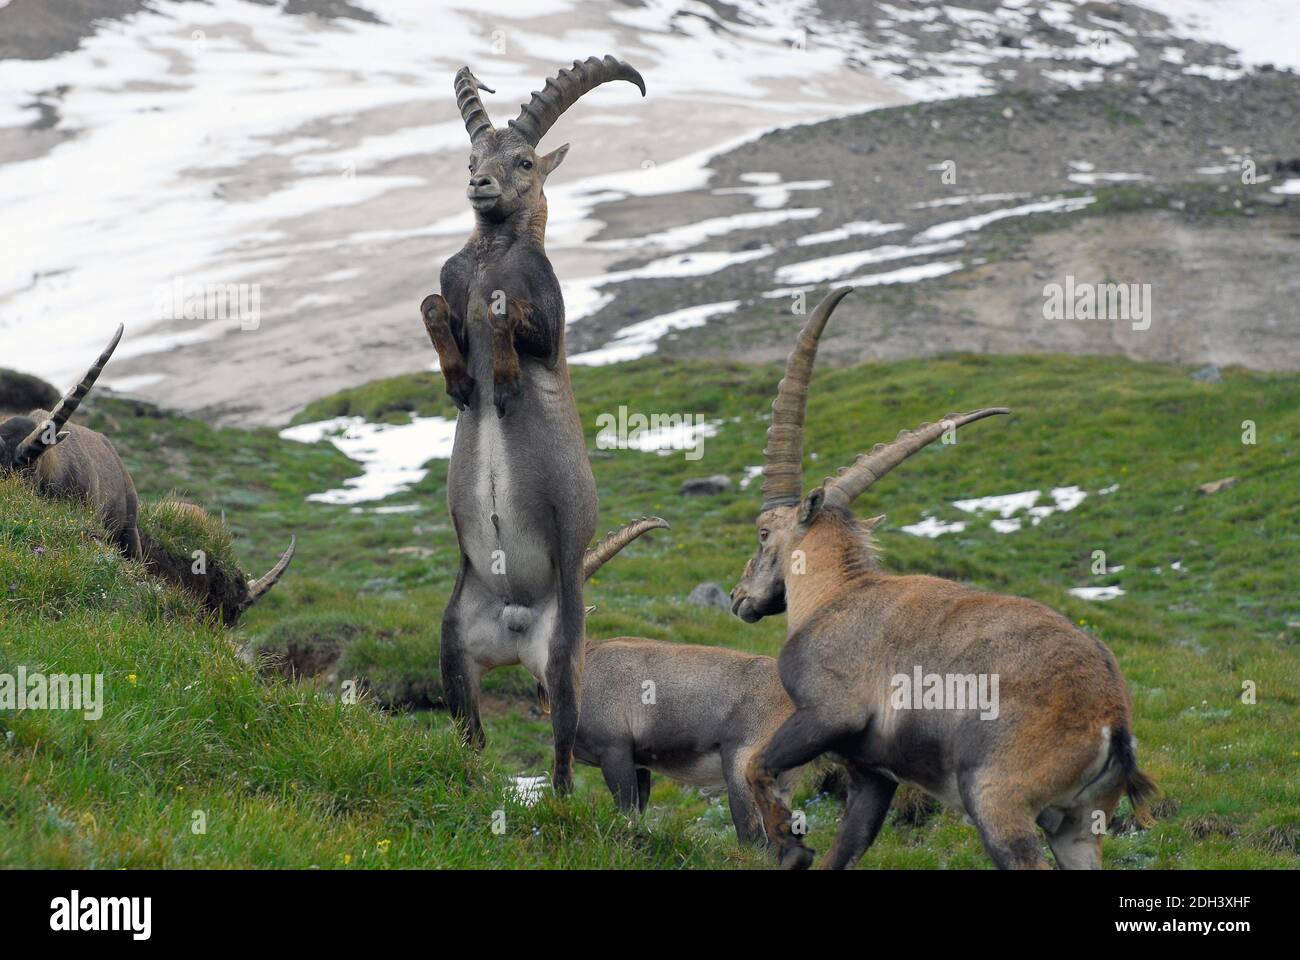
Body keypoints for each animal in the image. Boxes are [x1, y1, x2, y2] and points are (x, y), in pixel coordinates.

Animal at [420, 57, 645, 794]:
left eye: (522, 160)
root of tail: (517, 626)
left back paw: (560, 799)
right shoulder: (450, 287)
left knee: (563, 745)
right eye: (472, 157)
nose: (479, 185)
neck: (493, 250)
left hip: (565, 650)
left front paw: (507, 380)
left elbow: (506, 313)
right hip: (454, 642)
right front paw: (462, 382)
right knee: (471, 730)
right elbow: (434, 305)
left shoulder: (548, 320)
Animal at [729, 287, 1156, 870]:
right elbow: (847, 846)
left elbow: (758, 765)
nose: (738, 598)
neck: (833, 597)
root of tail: (1114, 723)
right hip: (1079, 824)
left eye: (763, 533)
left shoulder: (827, 713)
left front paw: (789, 843)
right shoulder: (872, 774)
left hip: (998, 800)